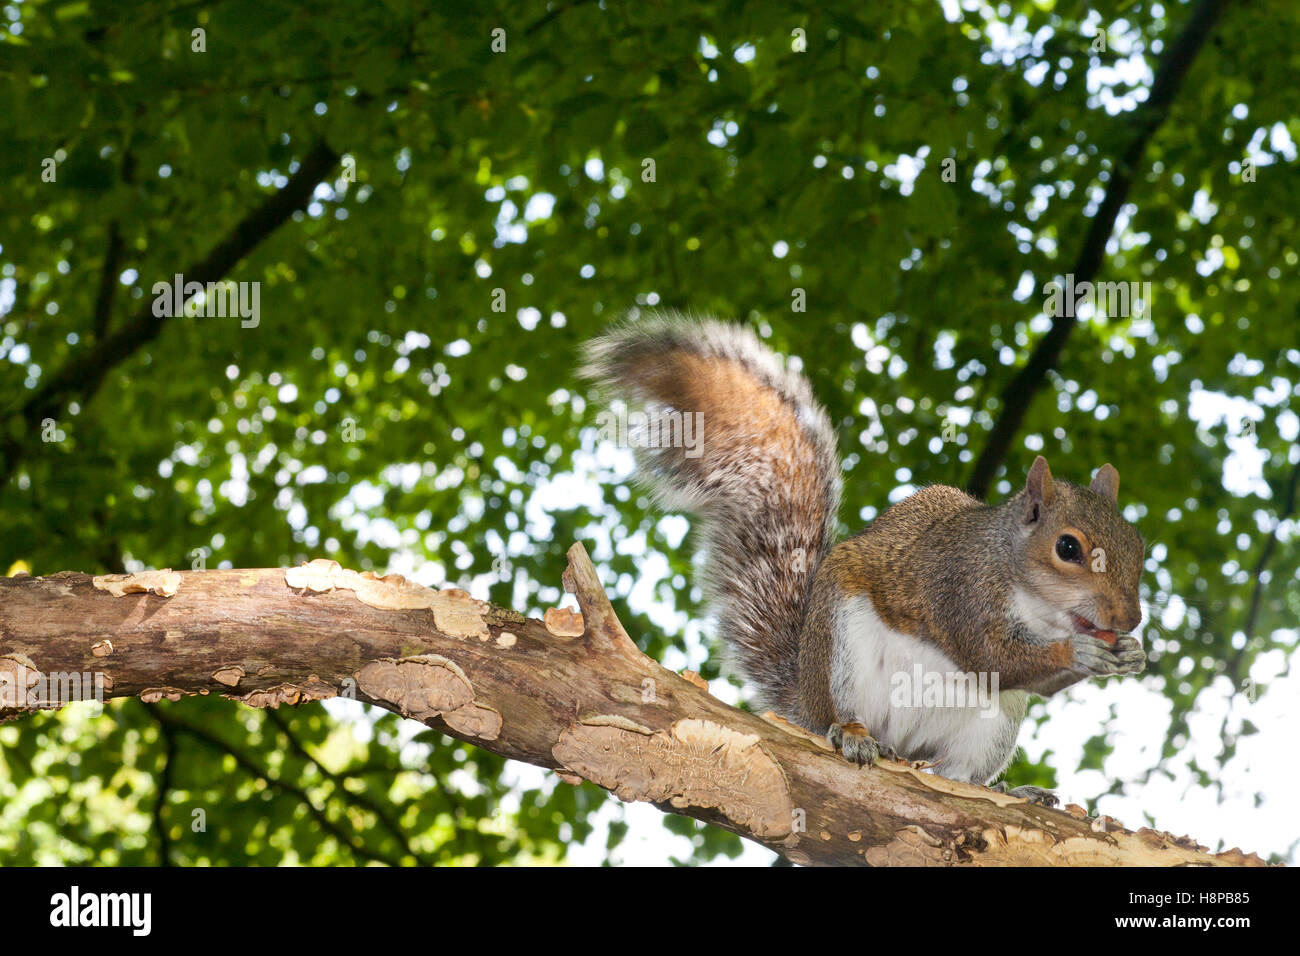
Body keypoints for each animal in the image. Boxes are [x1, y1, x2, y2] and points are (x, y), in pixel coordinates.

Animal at [583, 314, 1147, 804]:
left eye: (1139, 544)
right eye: (1068, 547)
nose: (1130, 619)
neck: (1032, 600)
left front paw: (1133, 654)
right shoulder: (959, 587)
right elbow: (990, 655)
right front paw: (1081, 653)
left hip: (992, 723)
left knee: (956, 774)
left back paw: (1005, 791)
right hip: (842, 646)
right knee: (846, 713)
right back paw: (851, 734)